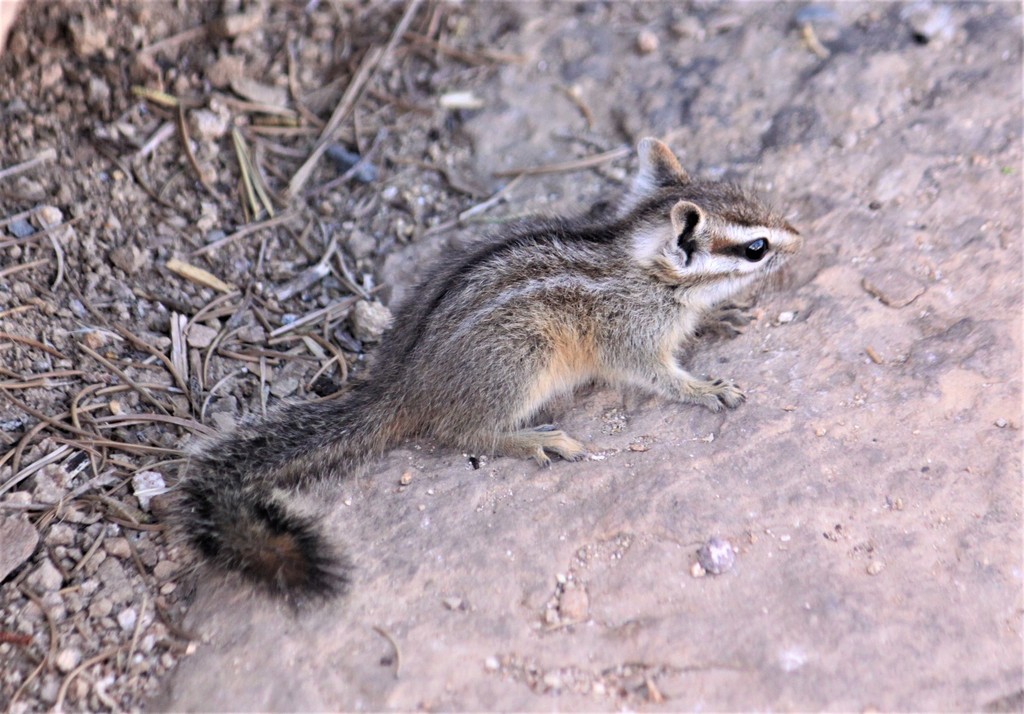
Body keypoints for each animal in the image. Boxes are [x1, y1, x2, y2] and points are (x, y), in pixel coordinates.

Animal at [174, 138, 802, 601]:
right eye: (756, 247)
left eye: (739, 190)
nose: (800, 240)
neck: (643, 268)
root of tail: (402, 388)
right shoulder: (631, 339)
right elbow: (658, 376)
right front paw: (705, 388)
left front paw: (721, 318)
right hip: (522, 359)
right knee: (461, 433)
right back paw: (533, 441)